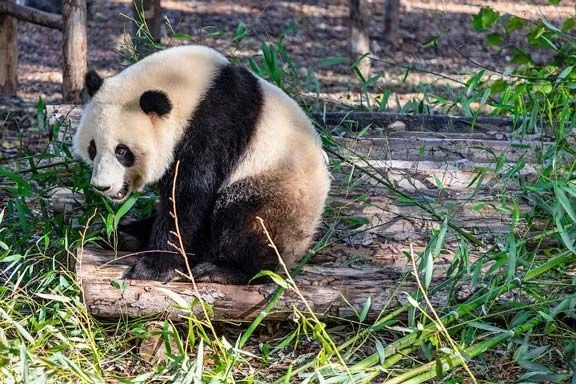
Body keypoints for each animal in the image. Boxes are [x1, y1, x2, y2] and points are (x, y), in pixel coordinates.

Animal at [74, 45, 330, 284]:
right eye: (93, 148)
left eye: (122, 151)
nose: (102, 187)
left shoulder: (213, 126)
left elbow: (189, 196)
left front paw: (151, 268)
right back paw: (126, 234)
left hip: (278, 187)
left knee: (246, 220)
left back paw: (223, 270)